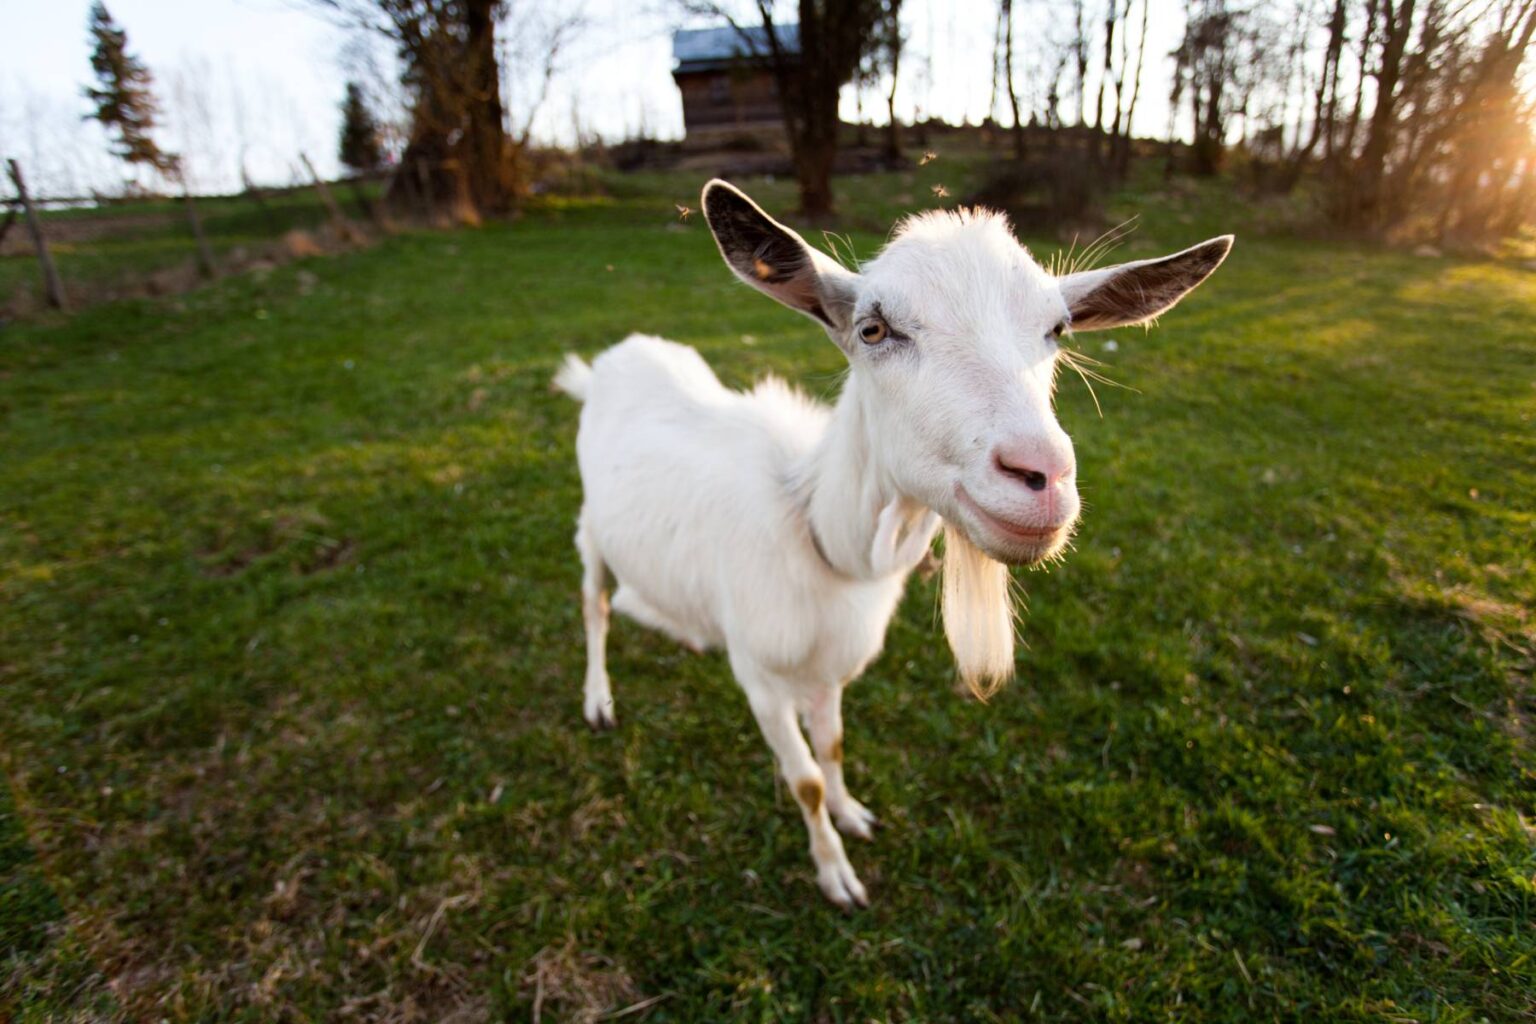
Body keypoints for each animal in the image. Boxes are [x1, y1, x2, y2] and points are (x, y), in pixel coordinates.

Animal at [553, 180, 1232, 907]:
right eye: (872, 328)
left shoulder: (832, 668)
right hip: (589, 526)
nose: (1041, 478)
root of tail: (608, 362)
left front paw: (852, 814)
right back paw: (598, 700)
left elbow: (833, 750)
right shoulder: (762, 677)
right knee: (594, 602)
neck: (820, 535)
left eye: (1059, 330)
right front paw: (836, 875)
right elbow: (804, 780)